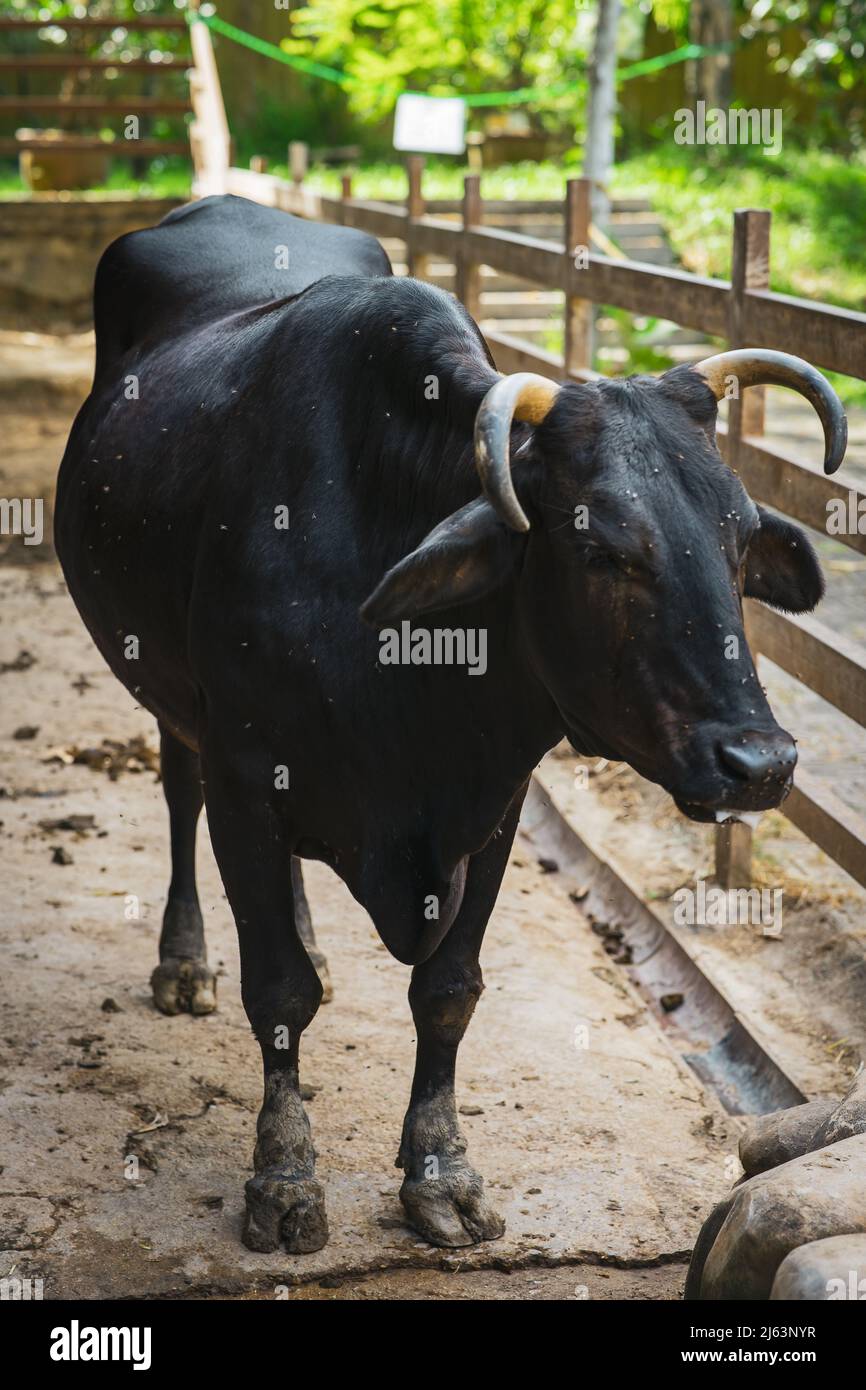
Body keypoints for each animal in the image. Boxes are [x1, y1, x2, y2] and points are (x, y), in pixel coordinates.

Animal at [55, 194, 847, 1255]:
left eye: (738, 537)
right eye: (601, 547)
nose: (760, 761)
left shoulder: (494, 802)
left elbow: (447, 993)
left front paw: (442, 1172)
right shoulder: (245, 773)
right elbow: (278, 993)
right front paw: (283, 1178)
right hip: (167, 691)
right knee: (180, 799)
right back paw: (183, 962)